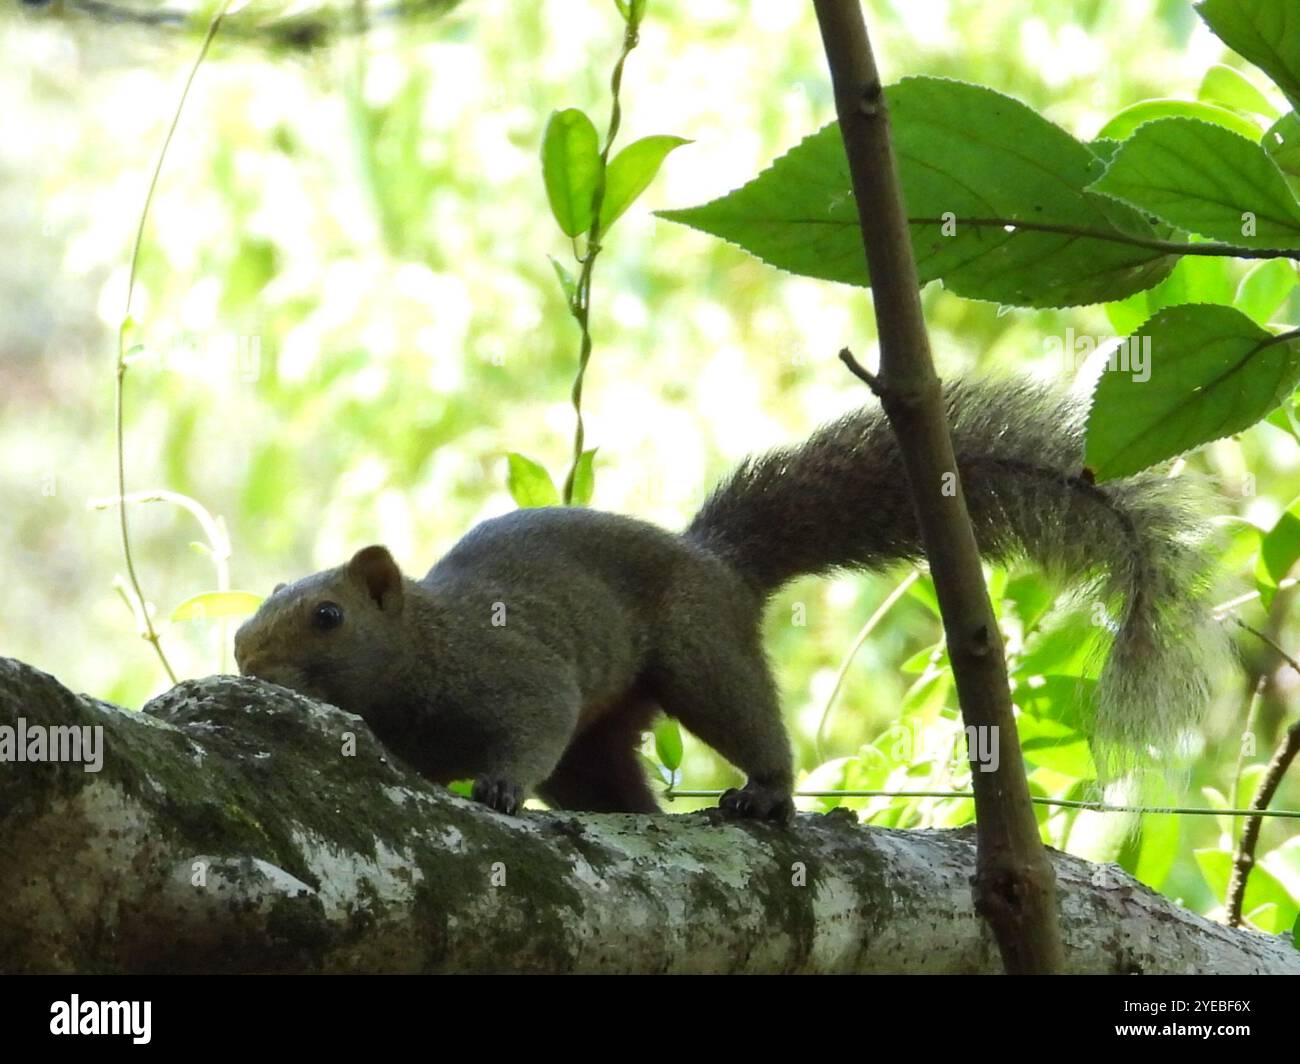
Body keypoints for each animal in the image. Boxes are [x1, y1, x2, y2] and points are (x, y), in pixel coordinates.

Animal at [233, 379, 1222, 821]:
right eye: (248, 624)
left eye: (329, 616)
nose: (246, 665)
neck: (421, 646)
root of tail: (715, 562)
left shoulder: (509, 669)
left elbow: (531, 717)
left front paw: (501, 787)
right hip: (607, 736)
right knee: (609, 781)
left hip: (700, 656)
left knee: (744, 719)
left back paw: (764, 793)